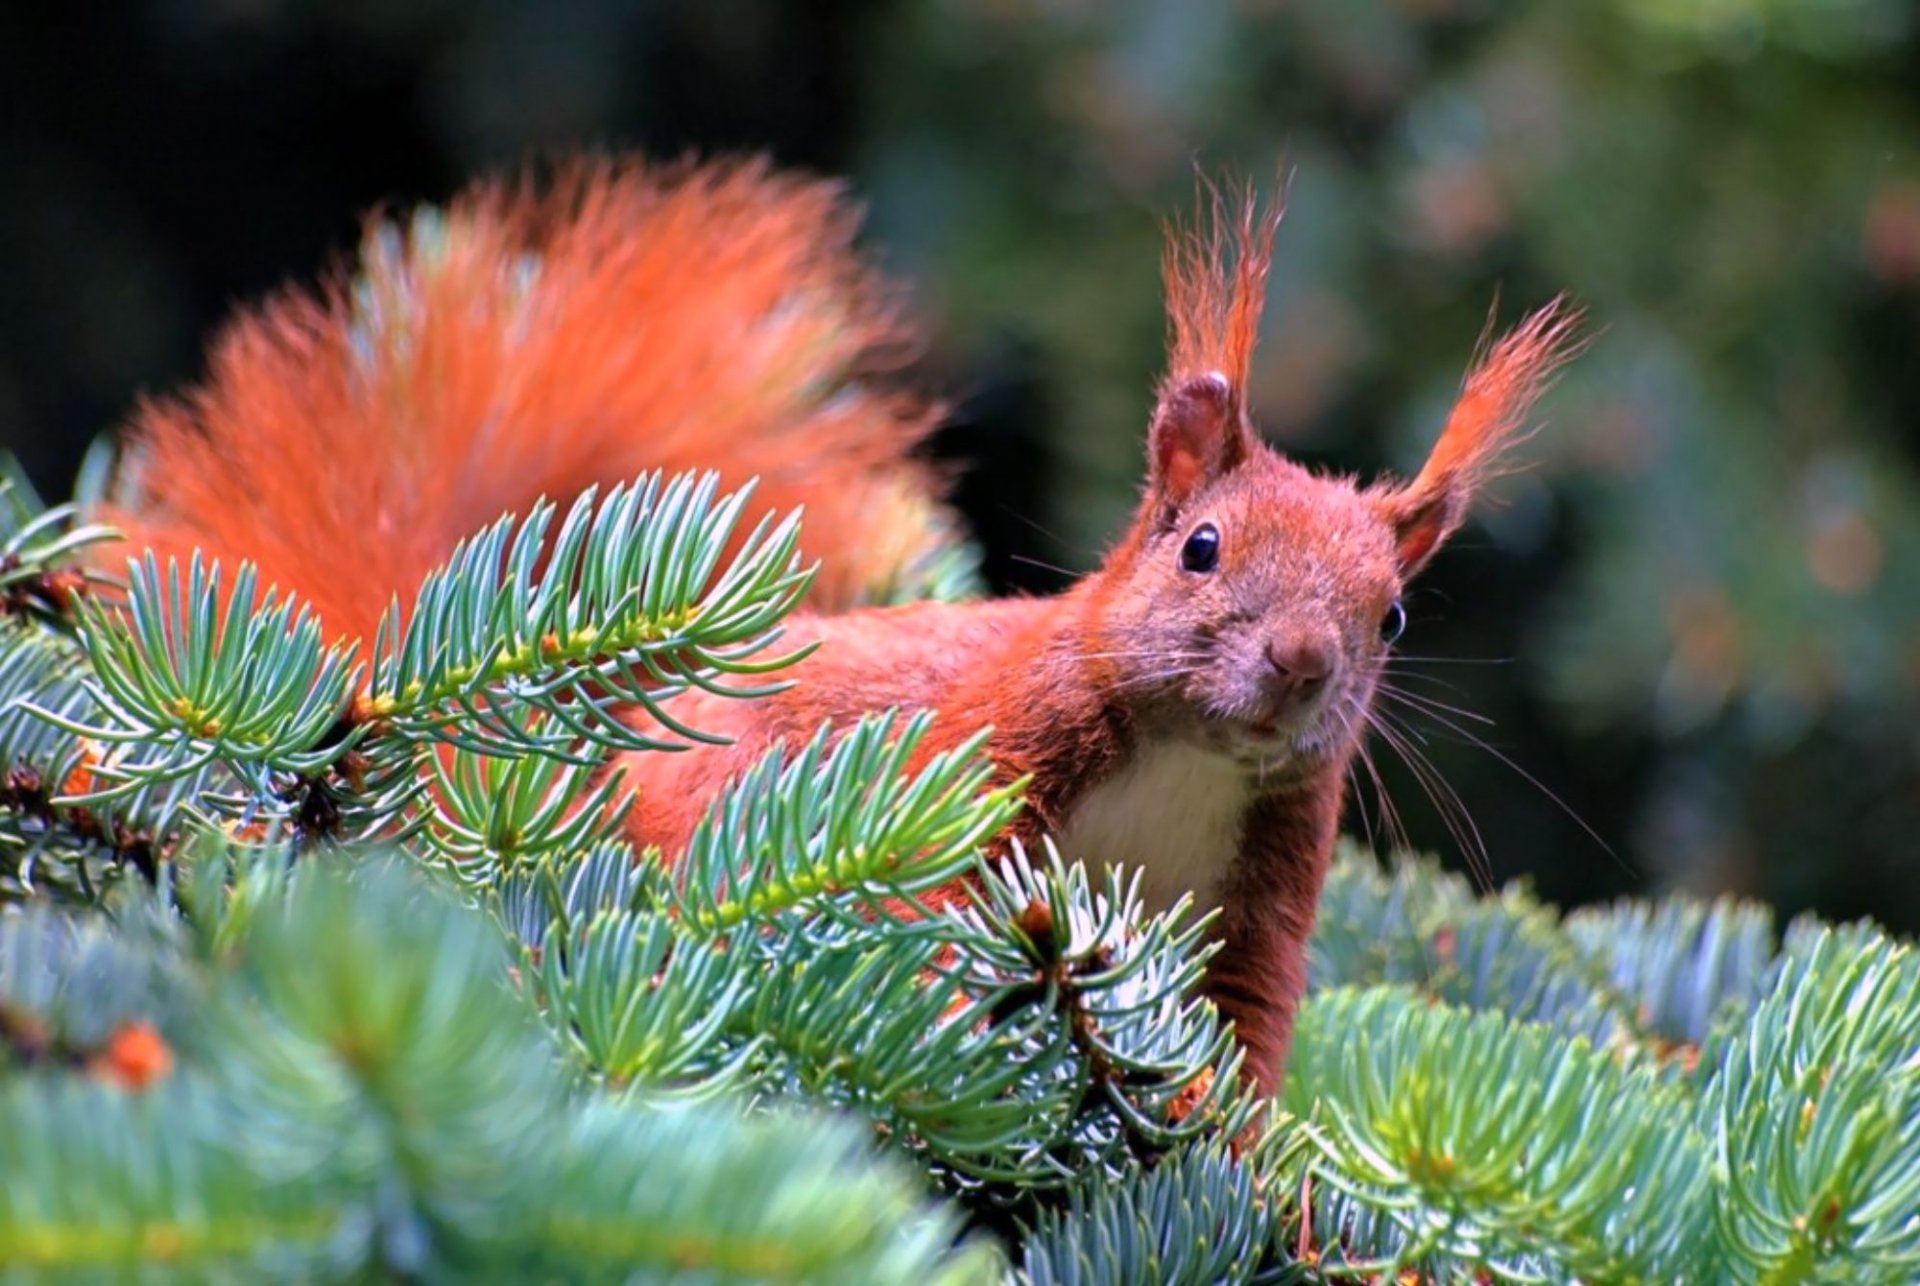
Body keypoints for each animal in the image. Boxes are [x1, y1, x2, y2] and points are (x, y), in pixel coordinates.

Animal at [101, 156, 1580, 1093]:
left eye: (1392, 615)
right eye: (1201, 546)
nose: (1303, 662)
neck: (1186, 764)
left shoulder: (1264, 907)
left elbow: (1247, 1047)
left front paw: (1257, 1176)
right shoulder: (982, 743)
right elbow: (922, 882)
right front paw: (949, 1007)